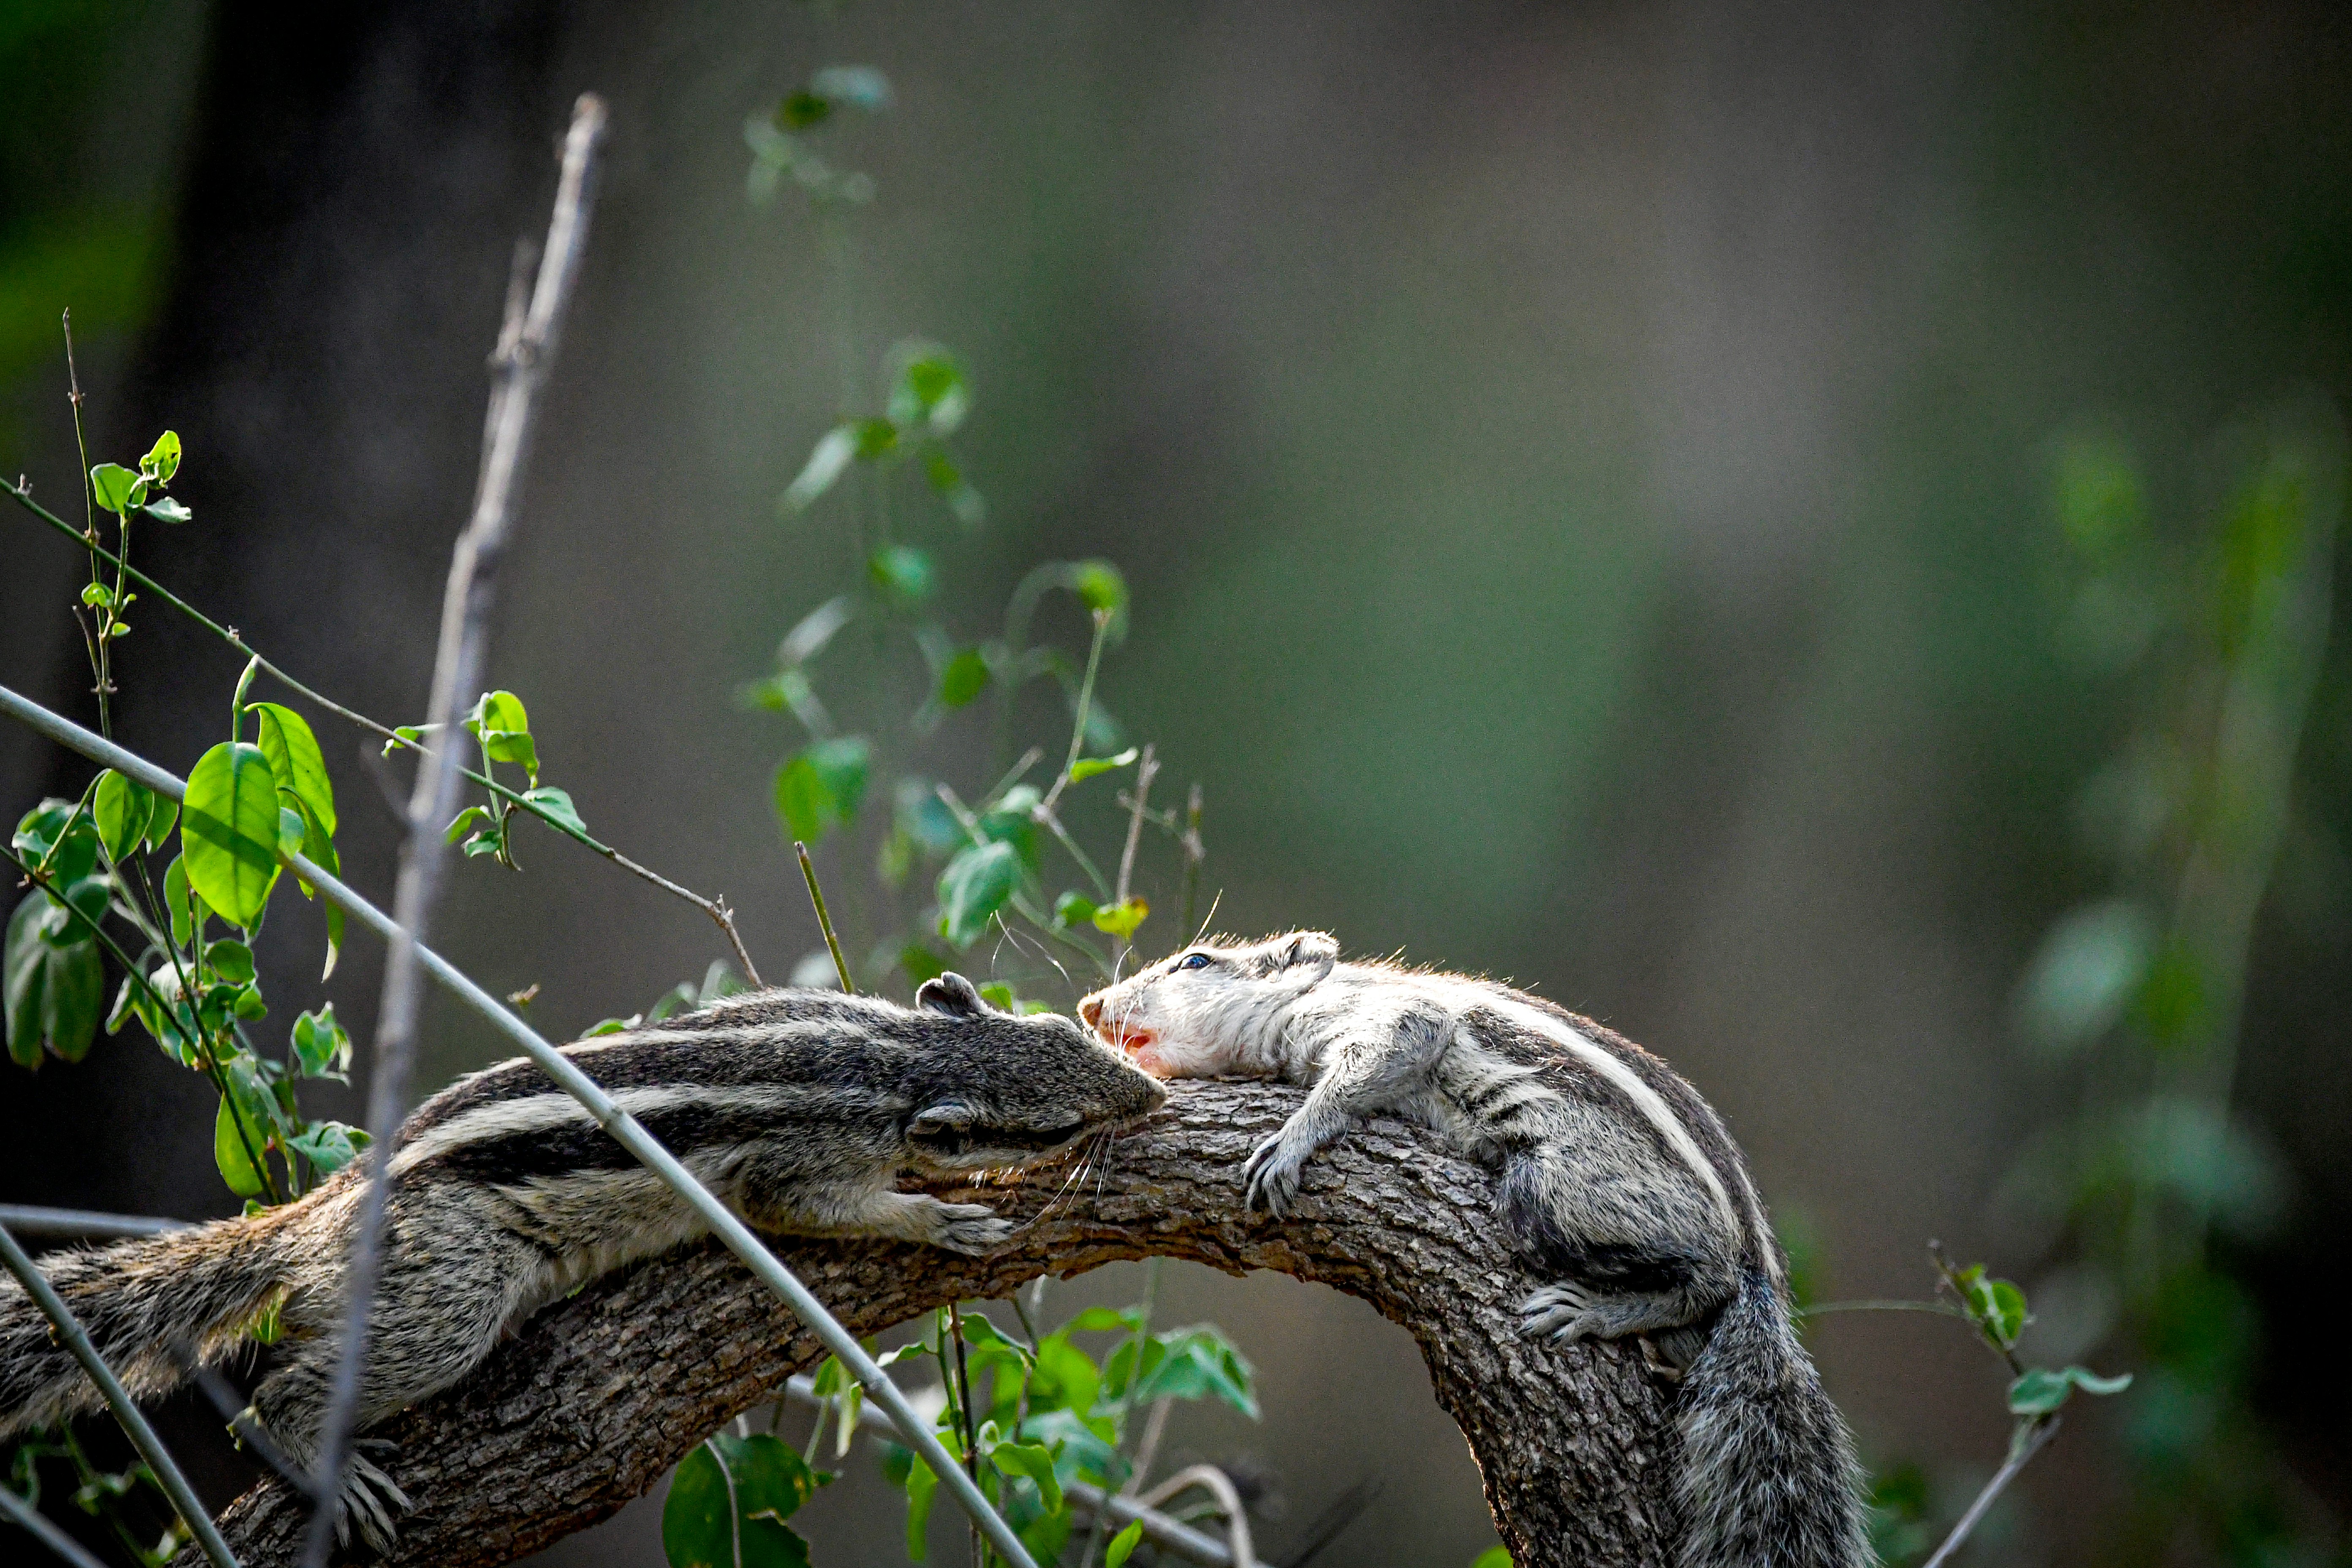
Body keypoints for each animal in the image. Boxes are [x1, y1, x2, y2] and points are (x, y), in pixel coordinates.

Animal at [0, 974, 1163, 1552]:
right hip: (449, 1294)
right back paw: (315, 1450)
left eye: (1064, 1029)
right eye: (1057, 1125)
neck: (886, 1056)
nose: (1147, 1096)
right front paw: (940, 1220)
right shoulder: (800, 1166)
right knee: (278, 1391)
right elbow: (819, 1208)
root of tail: (318, 1217)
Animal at [1078, 933, 1868, 1568]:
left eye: (1195, 961)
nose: (1090, 1004)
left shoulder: (1383, 1019)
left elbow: (1379, 1057)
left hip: (1552, 1189)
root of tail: (1760, 1275)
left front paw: (1295, 1136)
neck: (1320, 991)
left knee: (1703, 1279)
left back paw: (1597, 1310)